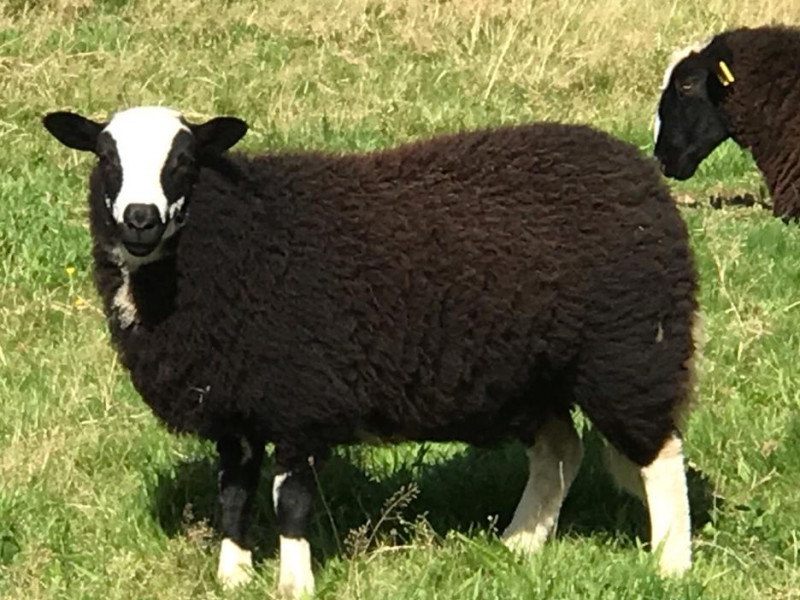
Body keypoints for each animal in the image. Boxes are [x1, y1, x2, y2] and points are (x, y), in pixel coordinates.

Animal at [43, 106, 699, 598]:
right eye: (106, 157)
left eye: (183, 161)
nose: (140, 219)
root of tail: (635, 165)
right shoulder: (234, 404)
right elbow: (233, 494)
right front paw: (233, 577)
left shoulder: (299, 398)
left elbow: (290, 501)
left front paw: (294, 584)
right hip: (529, 375)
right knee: (561, 452)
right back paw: (519, 544)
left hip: (631, 351)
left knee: (660, 456)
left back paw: (670, 563)